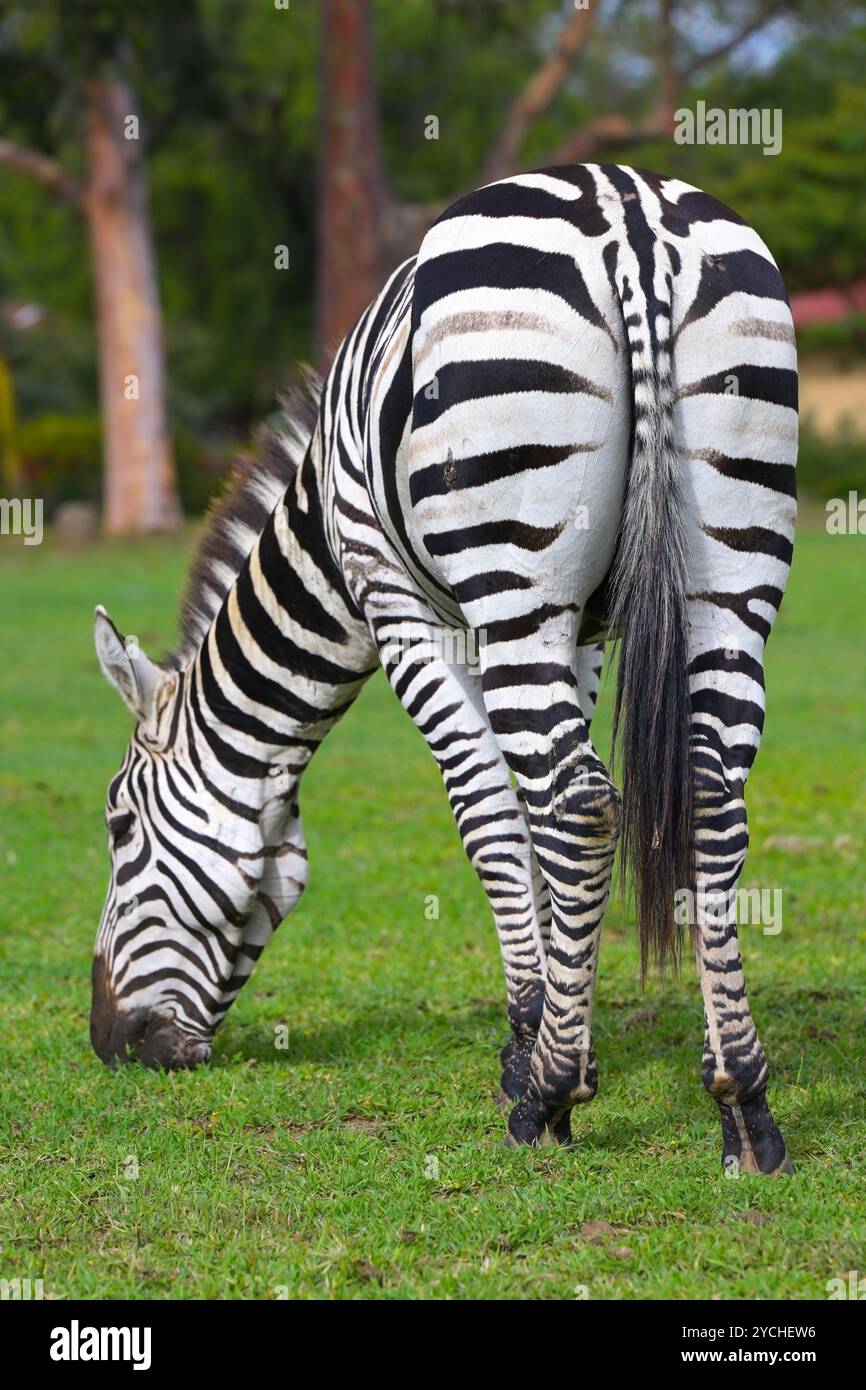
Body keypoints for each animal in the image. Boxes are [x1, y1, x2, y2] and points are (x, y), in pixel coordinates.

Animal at [92, 163, 797, 1174]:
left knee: (580, 808)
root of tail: (626, 210)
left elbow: (493, 814)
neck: (320, 532)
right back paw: (742, 1099)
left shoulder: (397, 604)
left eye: (118, 827)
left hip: (512, 561)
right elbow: (535, 815)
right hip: (728, 566)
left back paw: (545, 1103)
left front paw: (534, 1052)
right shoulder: (581, 631)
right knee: (704, 799)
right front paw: (569, 1031)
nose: (109, 1044)